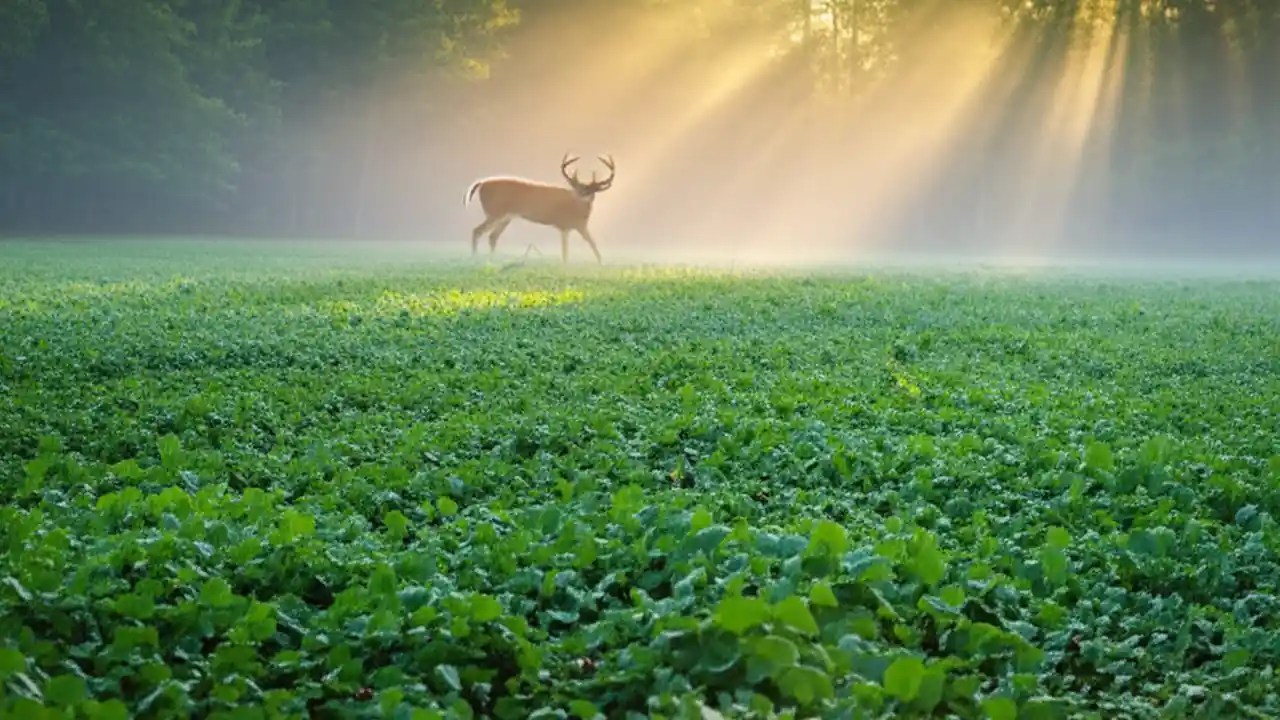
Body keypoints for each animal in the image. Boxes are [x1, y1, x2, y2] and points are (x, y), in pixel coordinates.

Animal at [464, 153, 615, 264]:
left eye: (592, 190)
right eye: (578, 188)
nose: (582, 194)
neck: (579, 210)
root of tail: (482, 183)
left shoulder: (571, 227)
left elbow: (580, 246)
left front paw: (598, 263)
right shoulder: (570, 225)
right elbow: (584, 245)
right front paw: (599, 263)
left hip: (506, 217)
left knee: (492, 236)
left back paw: (491, 259)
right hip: (495, 212)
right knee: (477, 231)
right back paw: (474, 258)